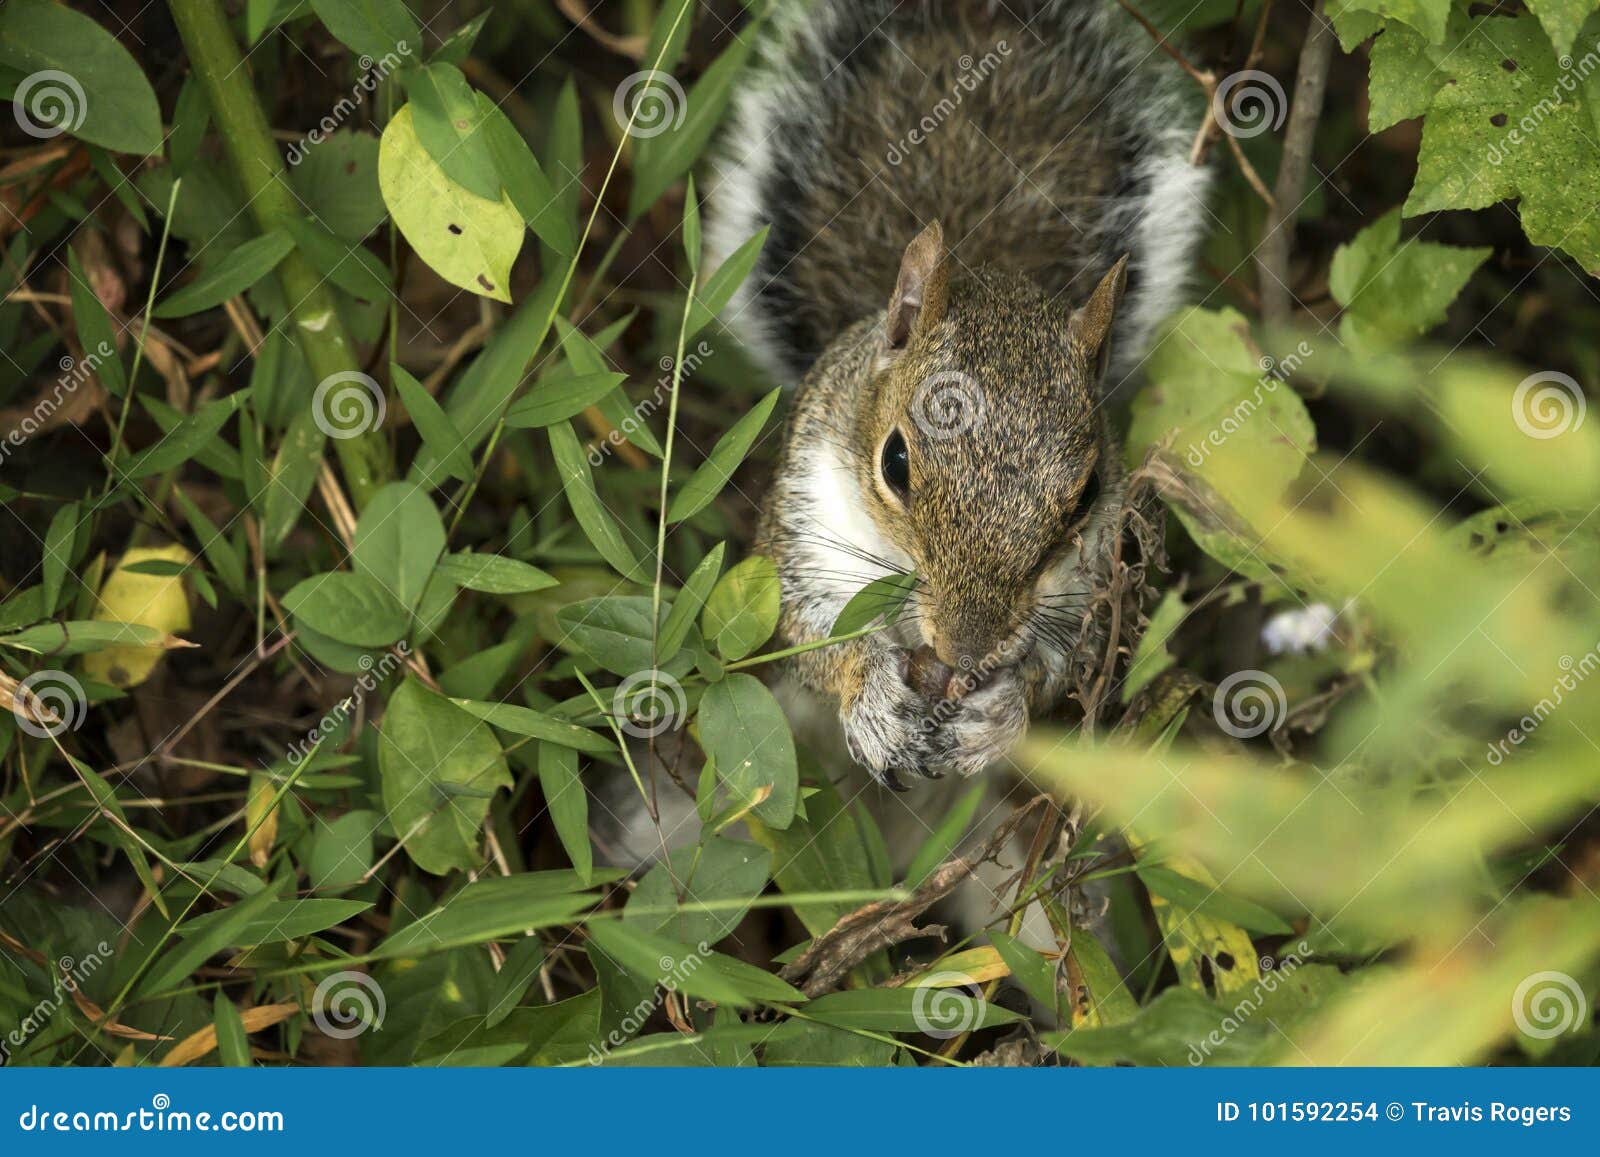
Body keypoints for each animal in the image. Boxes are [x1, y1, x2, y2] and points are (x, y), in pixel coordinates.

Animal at [705, 0, 1209, 788]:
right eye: (895, 464)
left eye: (1090, 494)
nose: (966, 654)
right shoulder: (807, 533)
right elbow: (809, 635)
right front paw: (873, 699)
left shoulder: (1090, 585)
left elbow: (1061, 667)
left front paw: (999, 714)